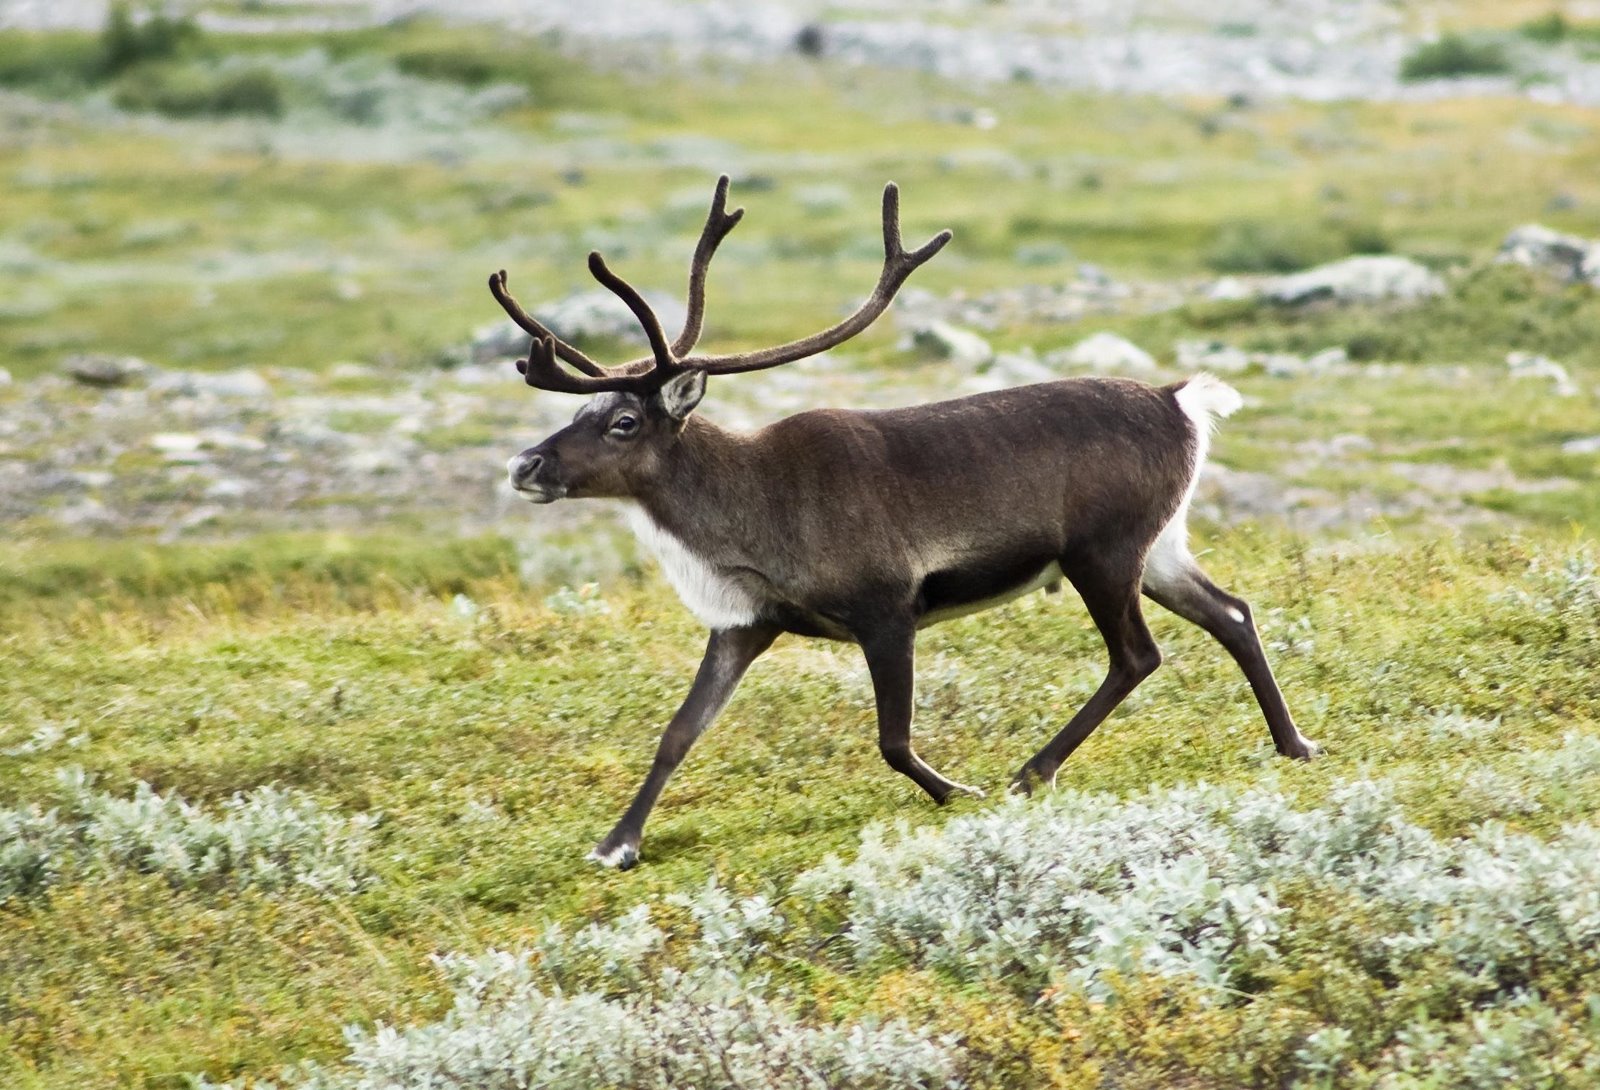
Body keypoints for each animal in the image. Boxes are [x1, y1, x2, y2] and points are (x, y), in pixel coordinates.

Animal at [495, 176, 1319, 869]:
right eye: (584, 412)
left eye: (624, 422)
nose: (525, 465)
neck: (747, 515)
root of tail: (1181, 401)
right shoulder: (747, 623)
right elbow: (676, 732)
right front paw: (616, 844)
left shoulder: (887, 607)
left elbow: (892, 739)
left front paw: (960, 792)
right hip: (1159, 548)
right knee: (1233, 613)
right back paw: (1294, 744)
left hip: (1103, 552)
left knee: (1137, 655)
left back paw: (1031, 771)